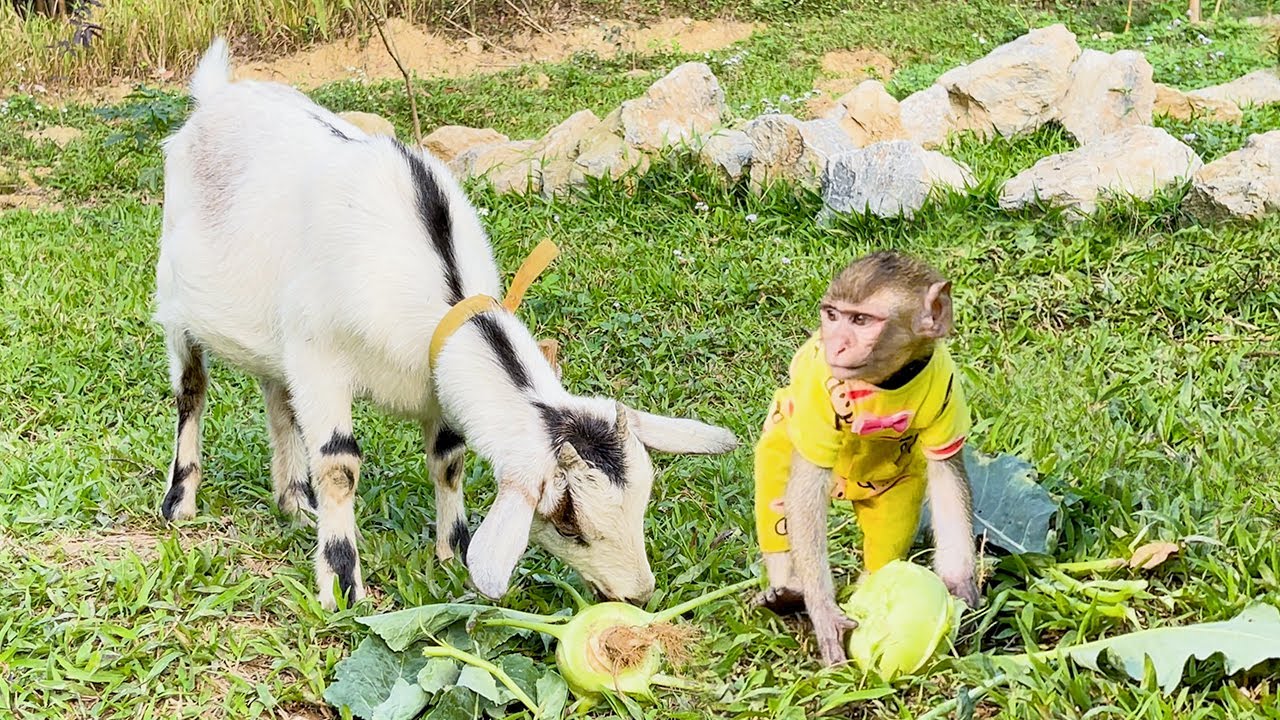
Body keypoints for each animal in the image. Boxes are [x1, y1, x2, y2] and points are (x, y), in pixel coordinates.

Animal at [153, 38, 739, 611]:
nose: (636, 594)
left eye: (642, 499)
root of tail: (216, 95)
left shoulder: (435, 379)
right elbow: (340, 466)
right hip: (175, 302)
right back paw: (181, 501)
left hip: (275, 341)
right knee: (192, 392)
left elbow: (449, 461)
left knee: (278, 401)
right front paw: (342, 585)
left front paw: (452, 552)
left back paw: (295, 505)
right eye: (569, 522)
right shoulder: (321, 359)